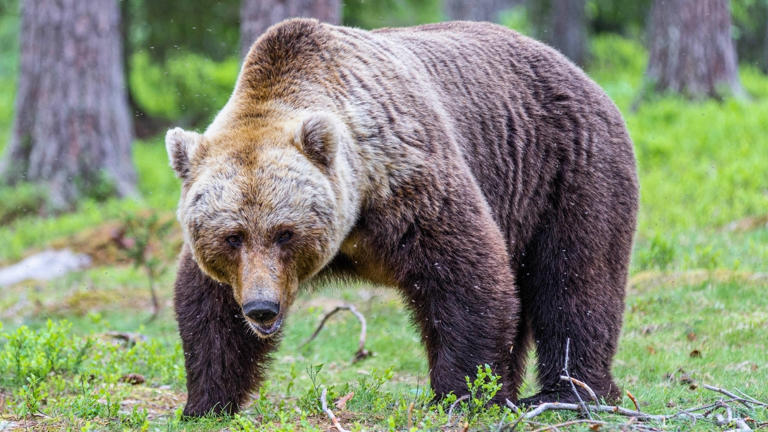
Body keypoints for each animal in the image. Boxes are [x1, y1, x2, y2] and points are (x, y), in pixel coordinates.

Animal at [165, 18, 638, 417]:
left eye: (285, 233)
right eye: (233, 236)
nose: (262, 308)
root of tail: (581, 74)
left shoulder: (409, 180)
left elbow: (466, 277)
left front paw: (462, 395)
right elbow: (207, 305)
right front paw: (205, 402)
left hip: (568, 169)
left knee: (575, 278)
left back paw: (569, 391)